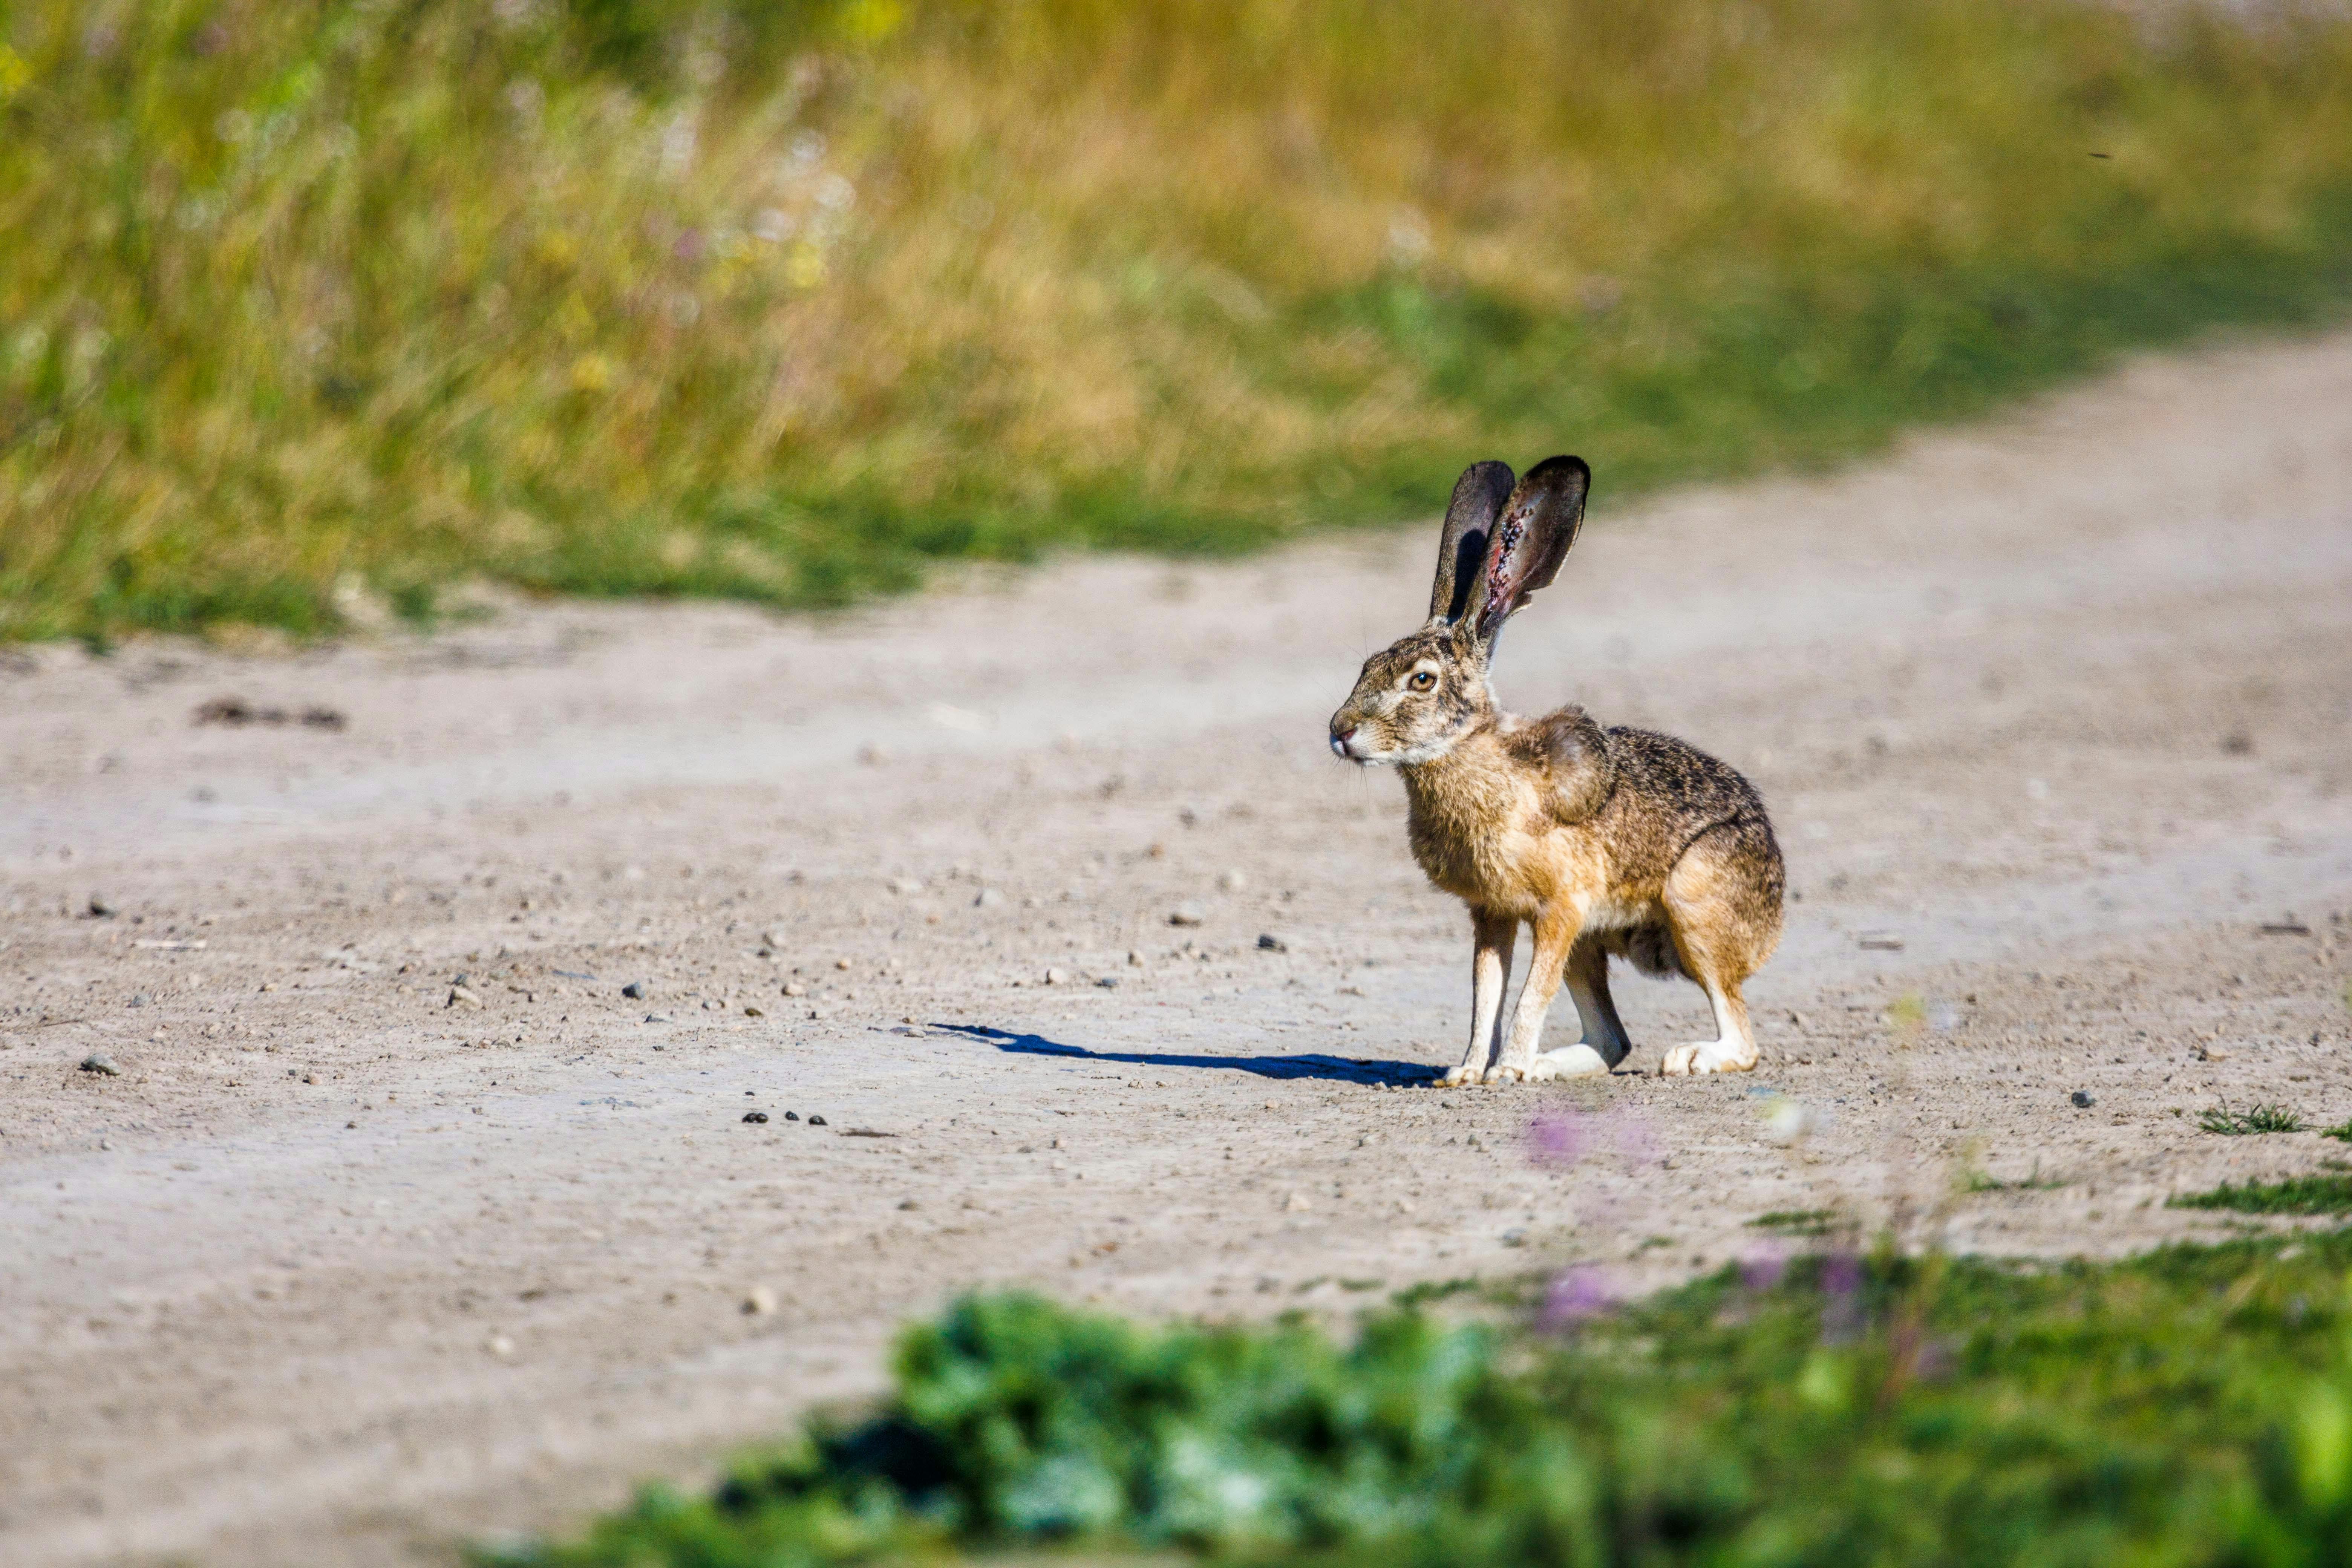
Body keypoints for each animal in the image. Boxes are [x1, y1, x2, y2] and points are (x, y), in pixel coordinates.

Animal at [1327, 456, 1784, 1083]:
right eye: (1368, 665)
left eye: (1421, 680)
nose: (1340, 731)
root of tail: (1775, 914)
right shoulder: (1492, 914)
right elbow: (1486, 995)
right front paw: (1467, 1073)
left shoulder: (1562, 908)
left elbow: (1528, 997)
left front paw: (1506, 1071)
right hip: (1594, 945)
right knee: (1612, 1039)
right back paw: (1549, 1065)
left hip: (1694, 912)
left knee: (1739, 1032)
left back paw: (1684, 1058)